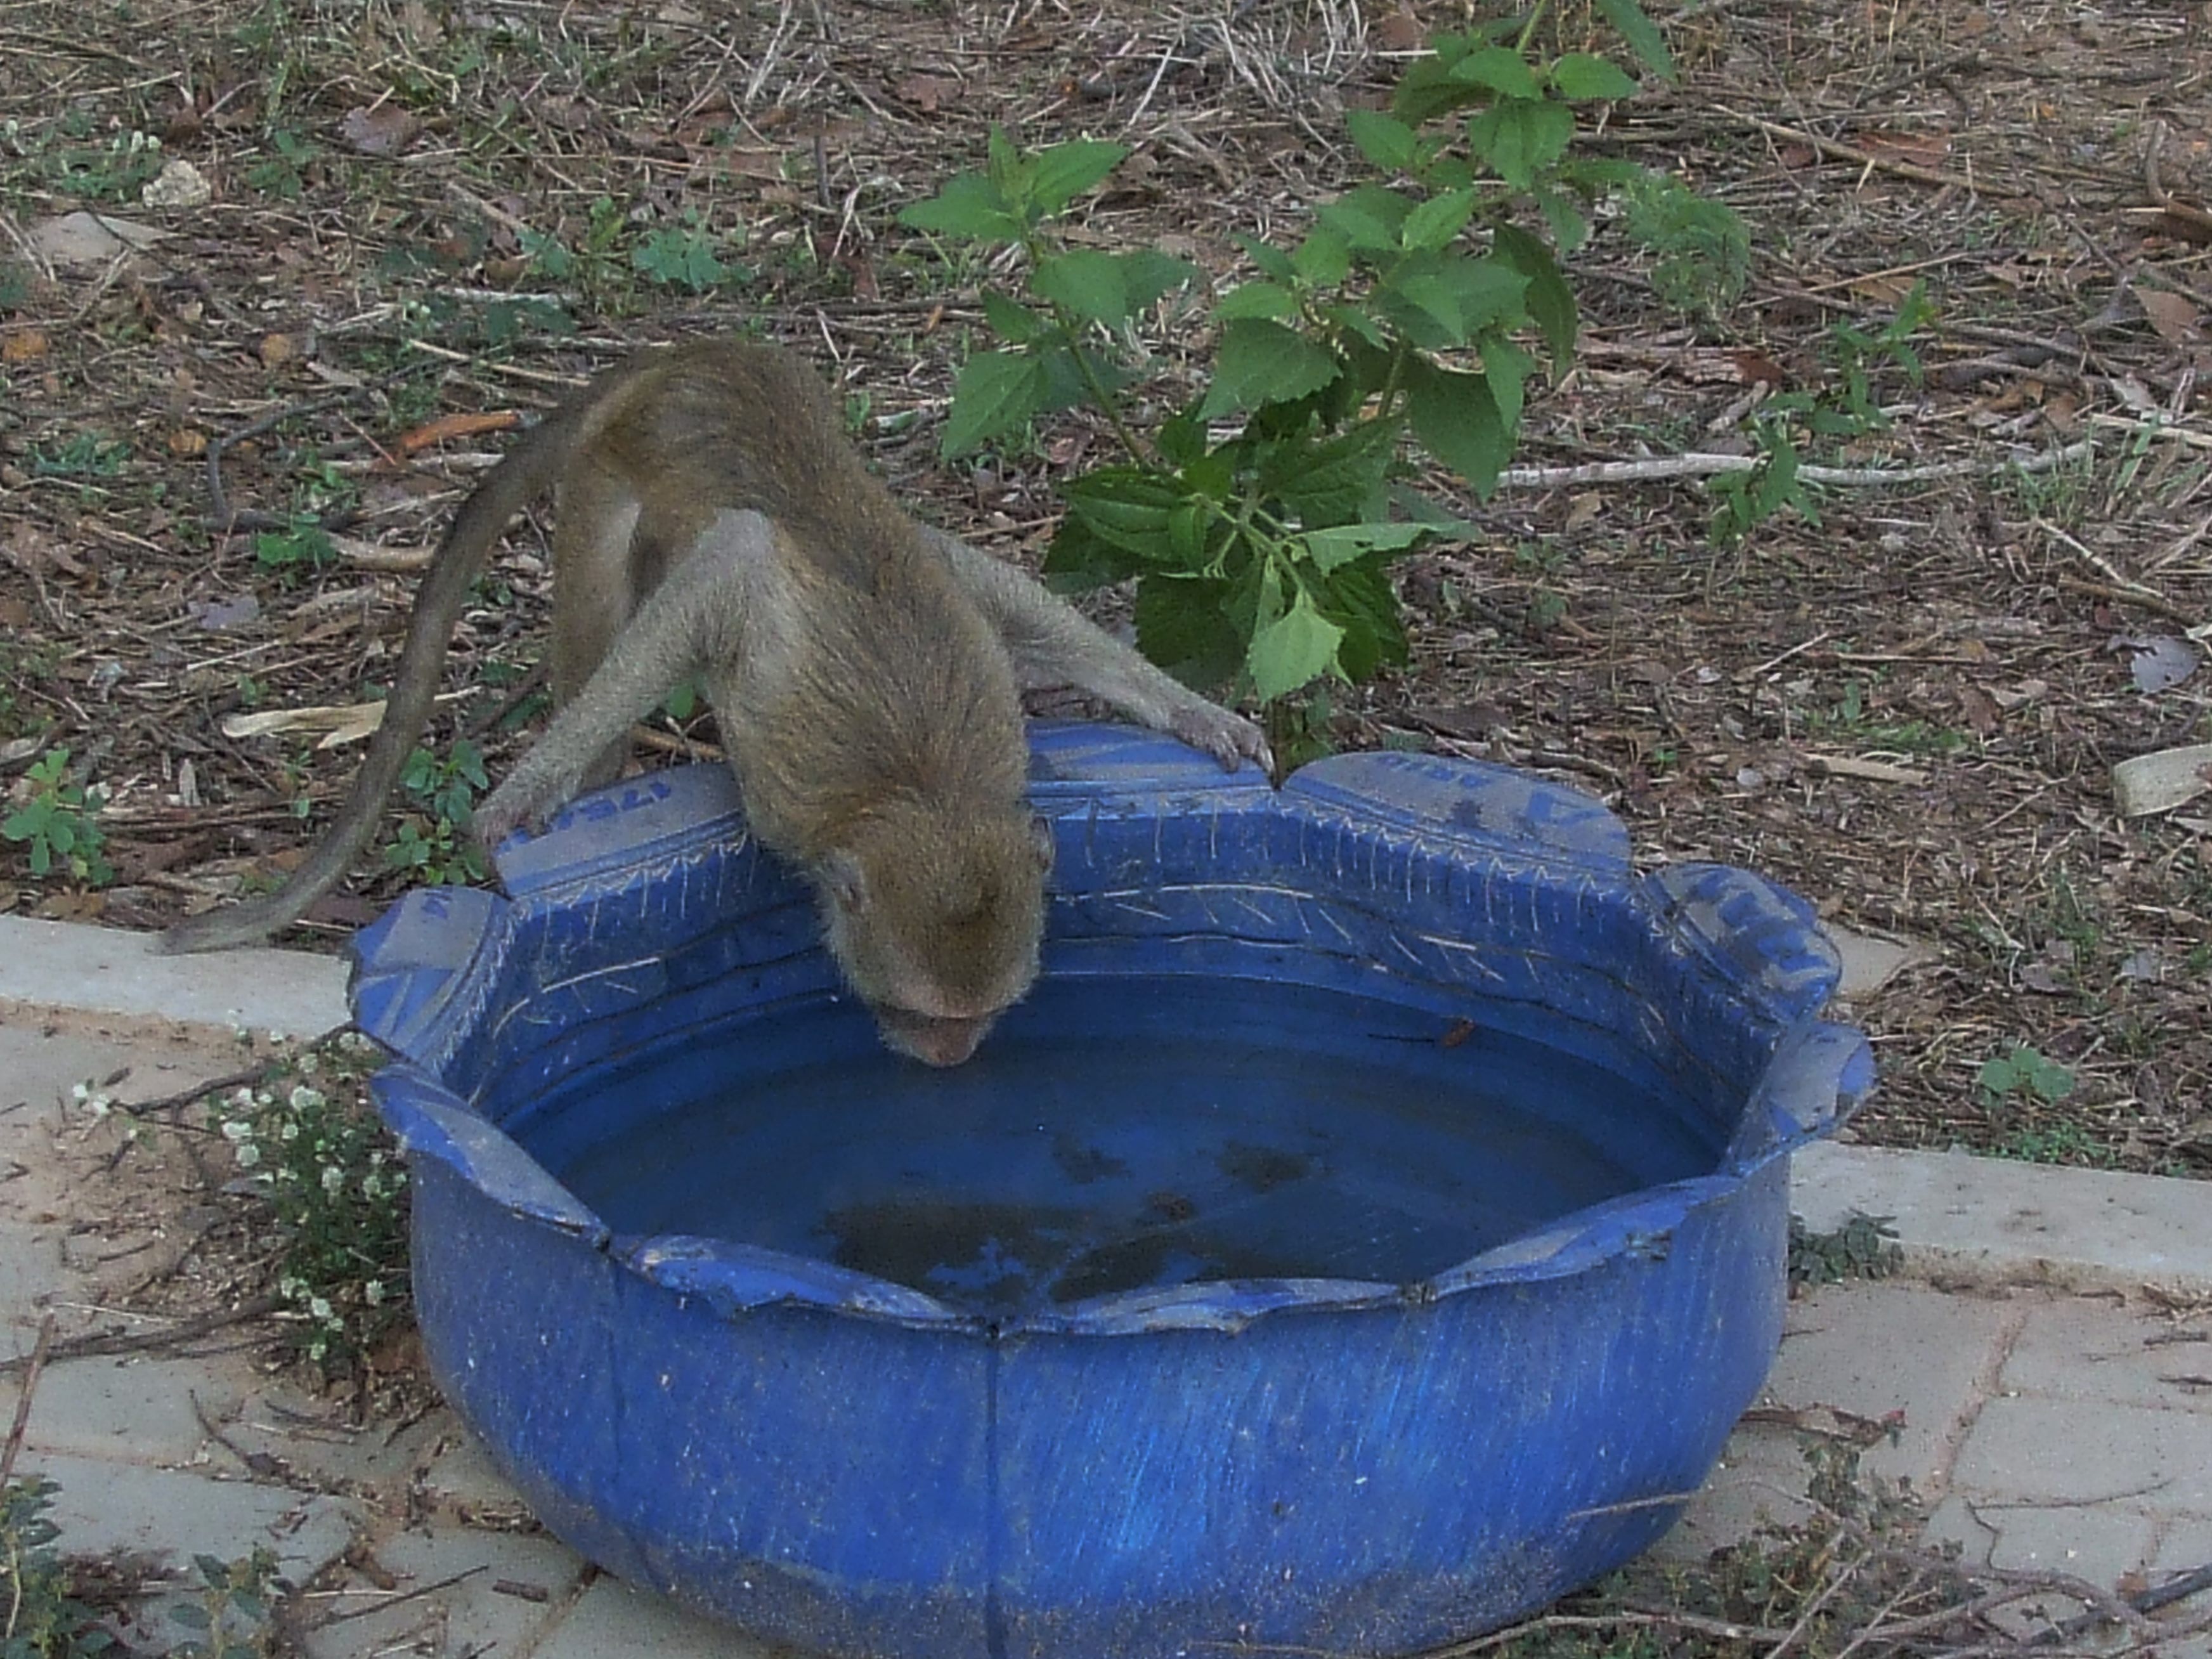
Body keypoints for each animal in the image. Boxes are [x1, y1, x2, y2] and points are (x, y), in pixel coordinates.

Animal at [159, 340, 1271, 1067]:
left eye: (976, 1018)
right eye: (931, 1016)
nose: (950, 1060)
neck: (923, 791)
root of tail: (695, 355)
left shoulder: (952, 621)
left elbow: (962, 568)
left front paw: (1196, 715)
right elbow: (731, 563)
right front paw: (522, 798)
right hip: (604, 480)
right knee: (610, 627)